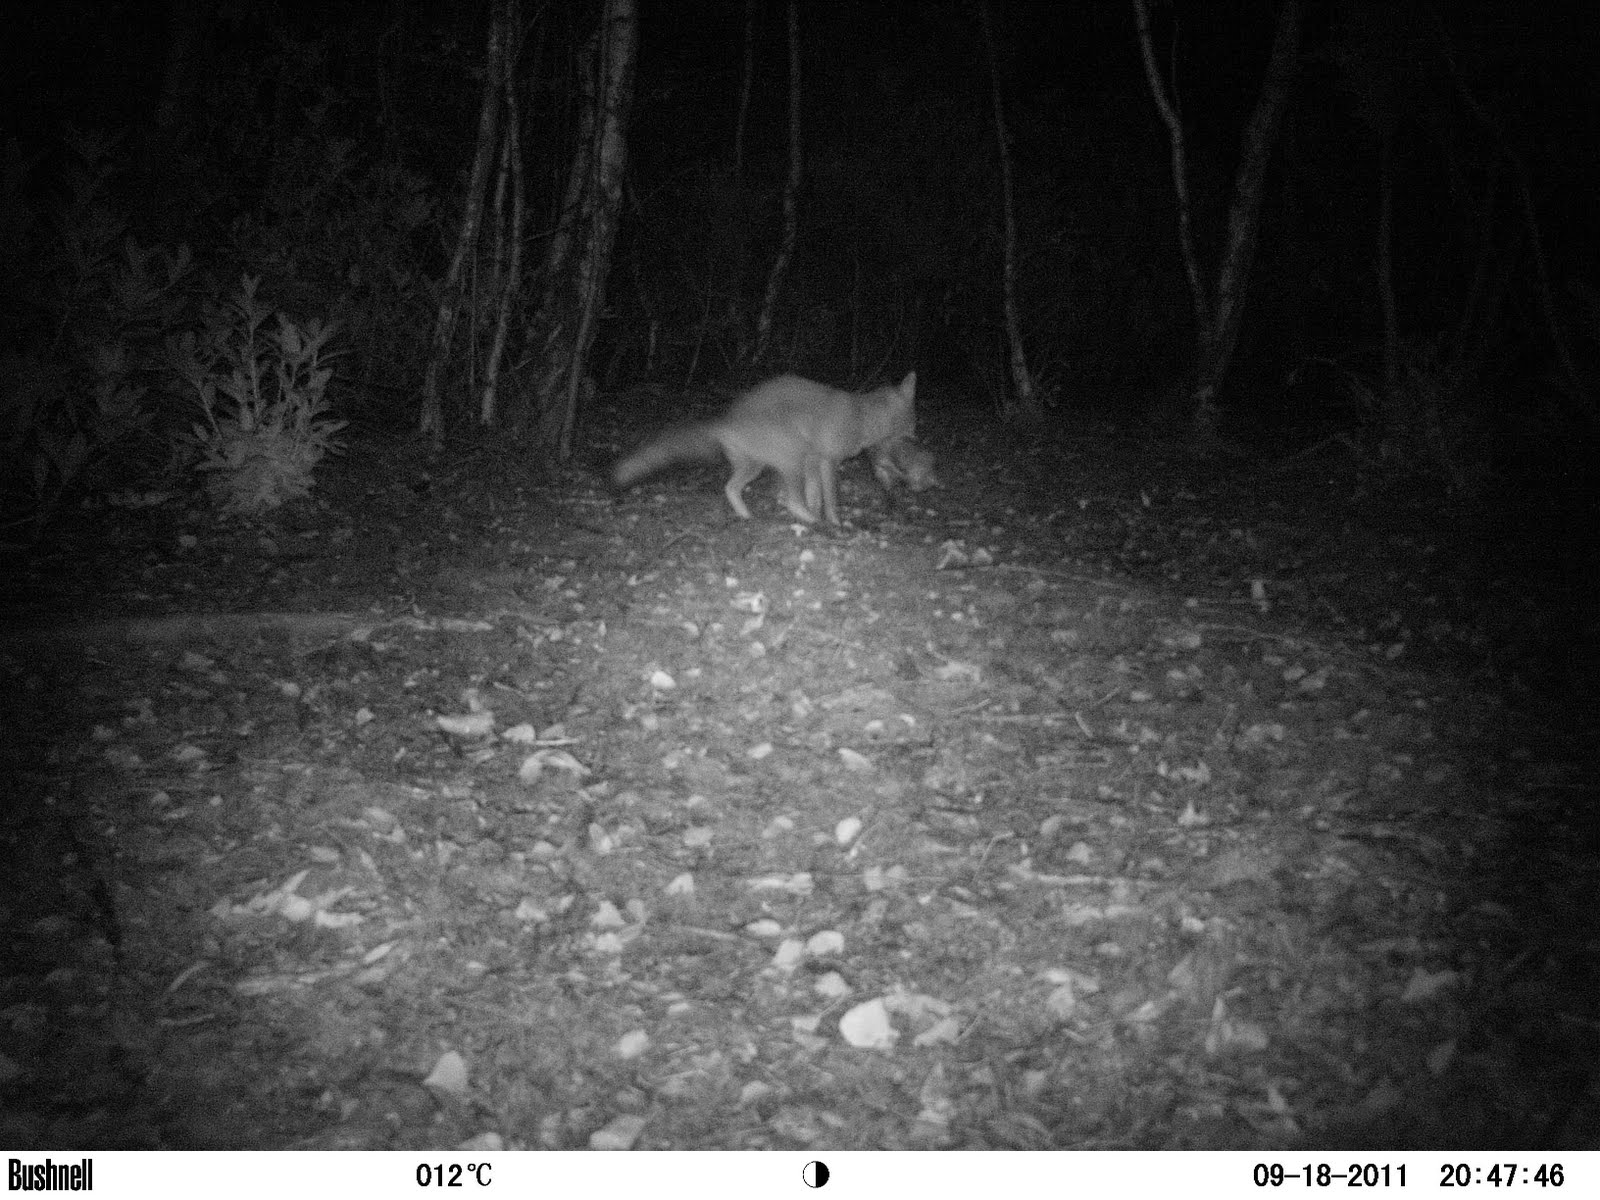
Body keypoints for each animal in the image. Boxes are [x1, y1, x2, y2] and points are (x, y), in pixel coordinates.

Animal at [612, 372, 917, 525]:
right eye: (913, 422)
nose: (918, 434)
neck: (861, 416)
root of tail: (726, 420)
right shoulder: (827, 460)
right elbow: (830, 500)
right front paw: (834, 523)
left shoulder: (813, 461)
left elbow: (816, 496)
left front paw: (820, 514)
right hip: (790, 459)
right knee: (790, 500)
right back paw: (809, 522)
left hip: (755, 467)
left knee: (730, 488)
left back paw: (747, 516)